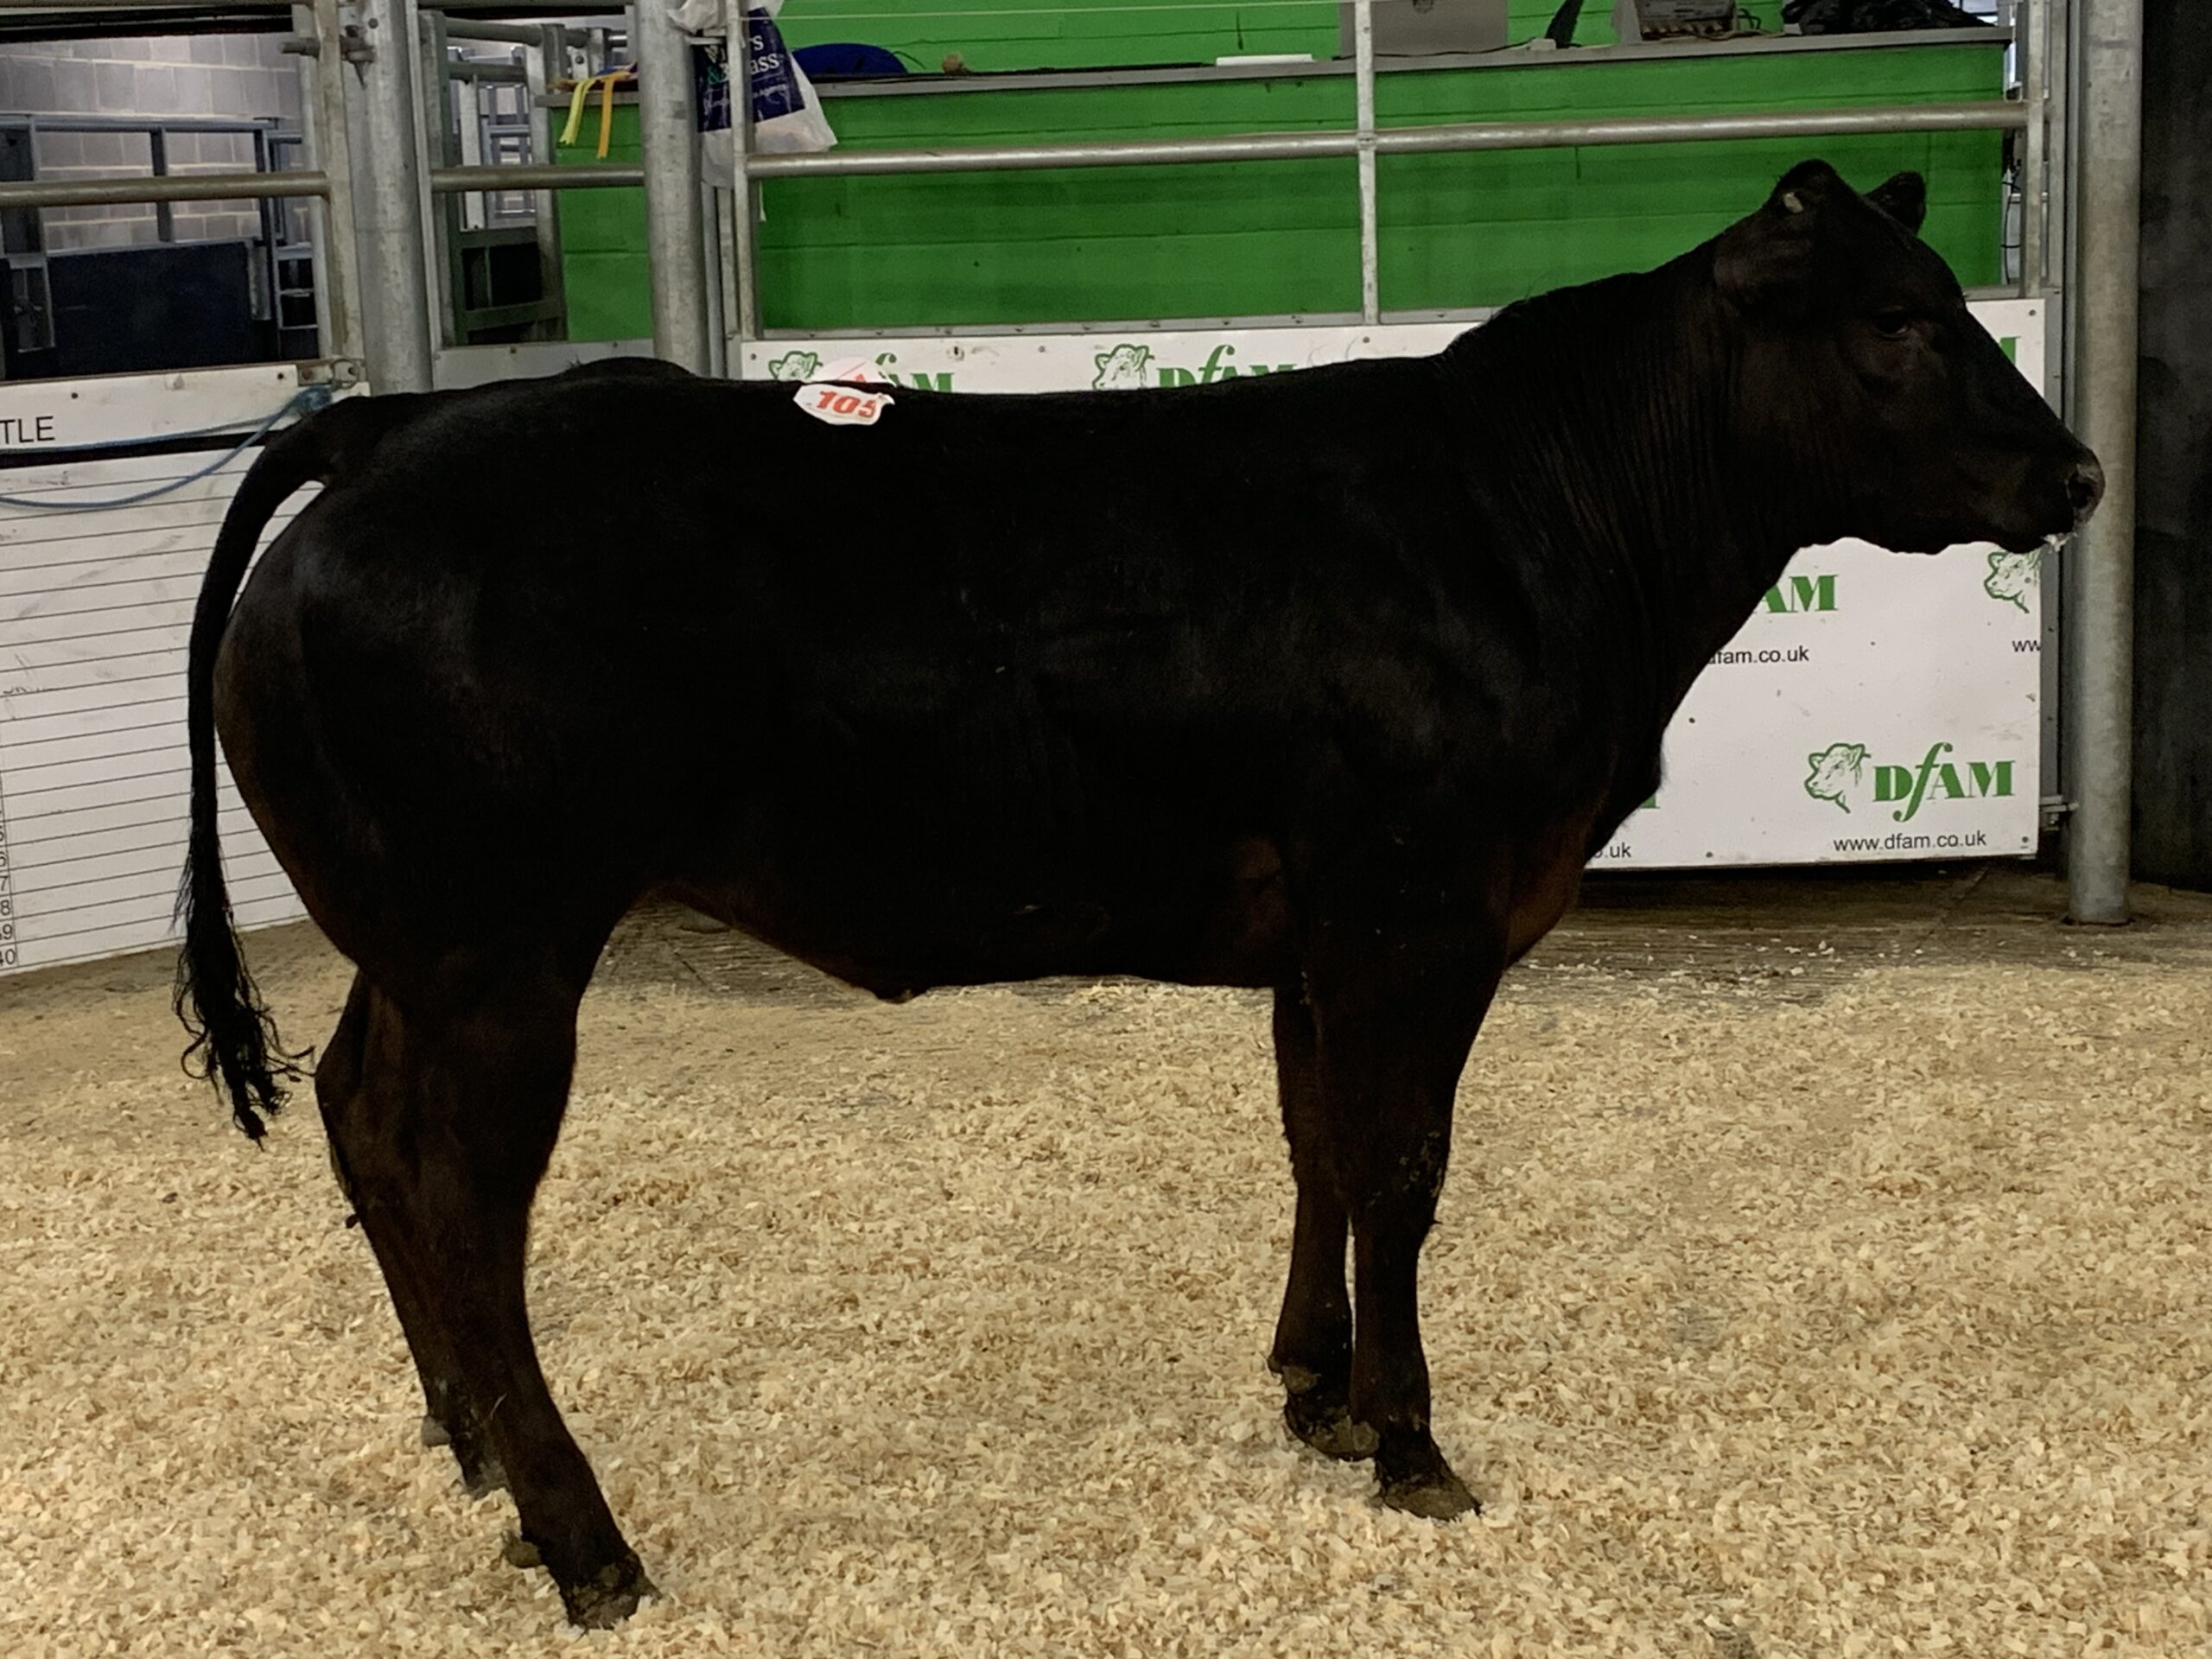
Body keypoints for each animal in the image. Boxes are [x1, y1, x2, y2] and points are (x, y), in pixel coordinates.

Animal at [176, 160, 2100, 1627]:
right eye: (1899, 321)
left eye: (1953, 301)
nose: (2076, 474)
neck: (1540, 521)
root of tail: (392, 426)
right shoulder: (1424, 904)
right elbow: (1400, 1167)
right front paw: (1413, 1441)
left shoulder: (1324, 931)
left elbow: (1317, 1141)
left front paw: (1318, 1395)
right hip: (500, 948)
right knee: (463, 1197)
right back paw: (584, 1540)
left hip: (415, 942)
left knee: (361, 1117)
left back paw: (468, 1445)